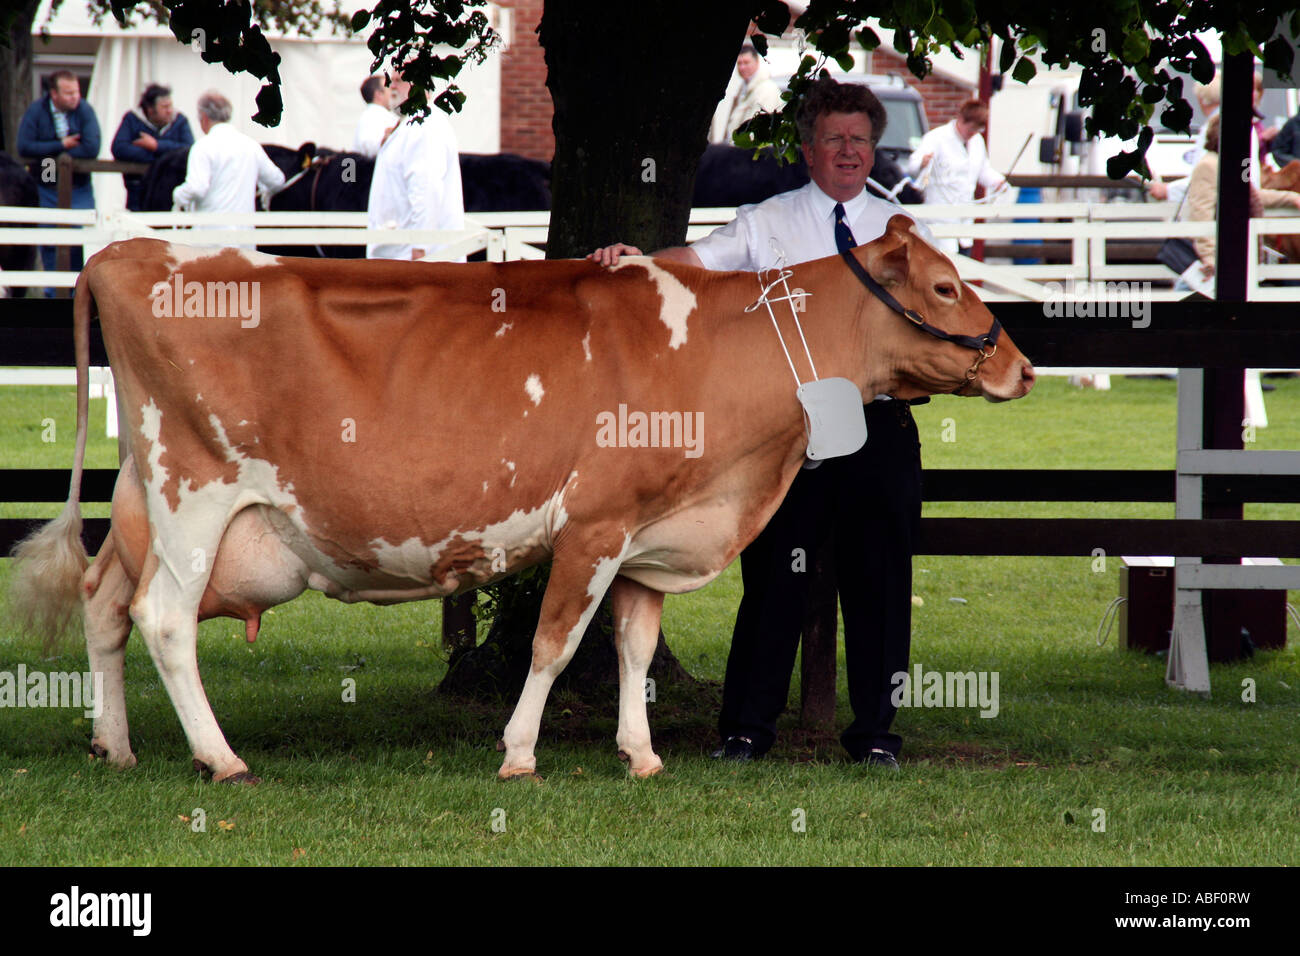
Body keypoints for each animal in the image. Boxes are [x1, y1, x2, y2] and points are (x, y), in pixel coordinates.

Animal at [9, 216, 1034, 783]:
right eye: (946, 285)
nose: (1021, 367)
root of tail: (126, 251)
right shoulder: (594, 525)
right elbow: (554, 645)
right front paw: (520, 753)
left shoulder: (648, 533)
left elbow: (635, 649)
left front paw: (641, 754)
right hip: (194, 497)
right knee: (163, 619)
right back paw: (220, 759)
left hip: (143, 498)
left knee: (104, 604)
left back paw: (116, 745)